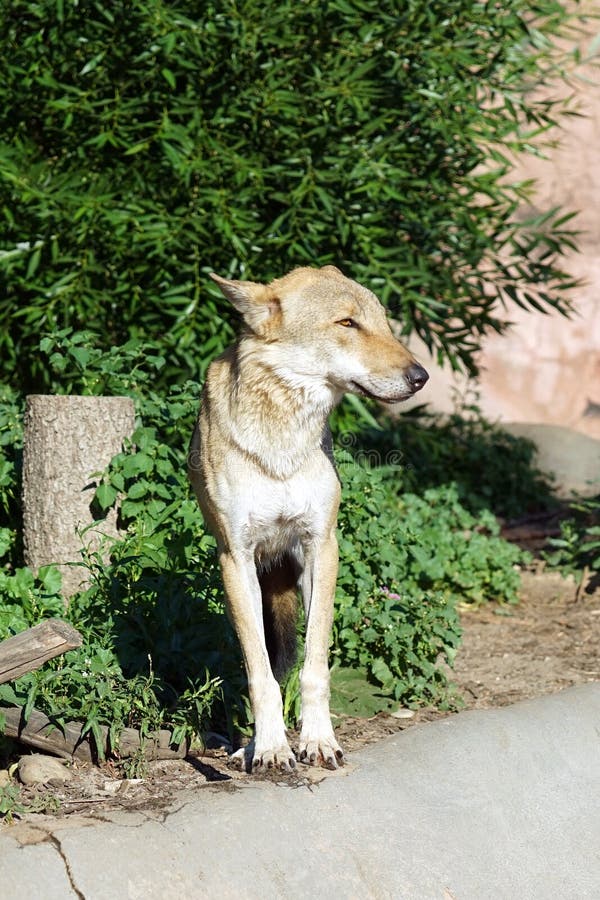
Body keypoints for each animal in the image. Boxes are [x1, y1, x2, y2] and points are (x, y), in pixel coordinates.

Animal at [188, 266, 428, 772]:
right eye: (347, 323)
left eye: (383, 322)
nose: (421, 376)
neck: (283, 439)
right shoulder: (235, 558)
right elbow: (261, 675)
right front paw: (271, 748)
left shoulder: (322, 546)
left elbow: (315, 665)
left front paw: (318, 741)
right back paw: (252, 746)